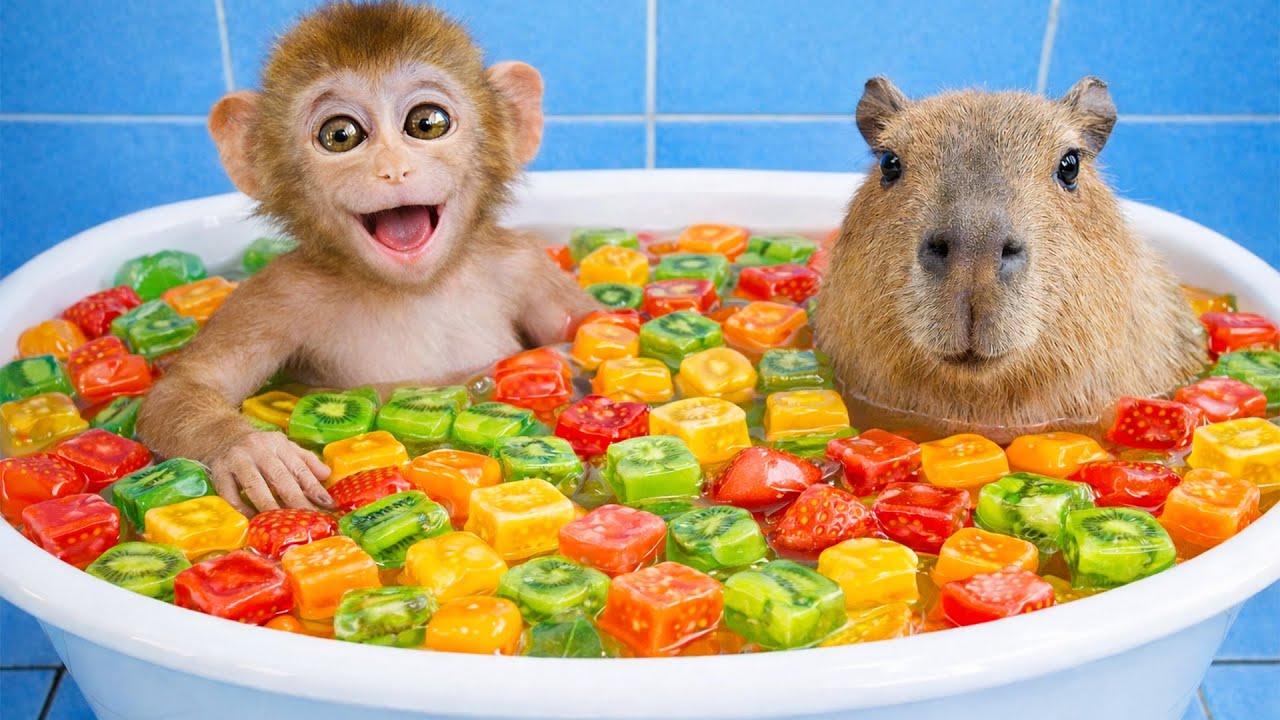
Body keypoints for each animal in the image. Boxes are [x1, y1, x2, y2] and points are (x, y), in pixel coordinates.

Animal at [137, 1, 599, 515]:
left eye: (427, 123)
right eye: (340, 135)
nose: (393, 169)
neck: (413, 288)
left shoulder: (523, 263)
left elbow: (588, 323)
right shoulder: (277, 292)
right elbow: (187, 386)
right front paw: (249, 449)